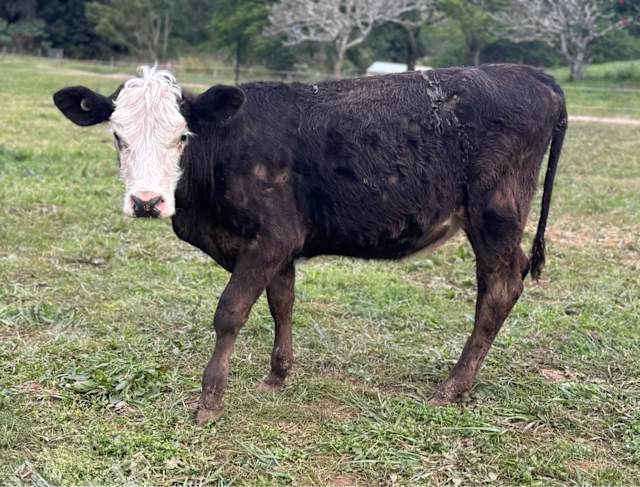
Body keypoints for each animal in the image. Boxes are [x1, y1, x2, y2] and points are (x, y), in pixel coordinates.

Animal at [53, 64, 567, 424]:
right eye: (117, 136)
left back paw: (453, 386)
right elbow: (282, 302)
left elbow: (230, 311)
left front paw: (210, 400)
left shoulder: (272, 237)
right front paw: (277, 376)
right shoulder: (279, 246)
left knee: (499, 289)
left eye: (182, 135)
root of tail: (528, 72)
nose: (146, 201)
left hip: (495, 215)